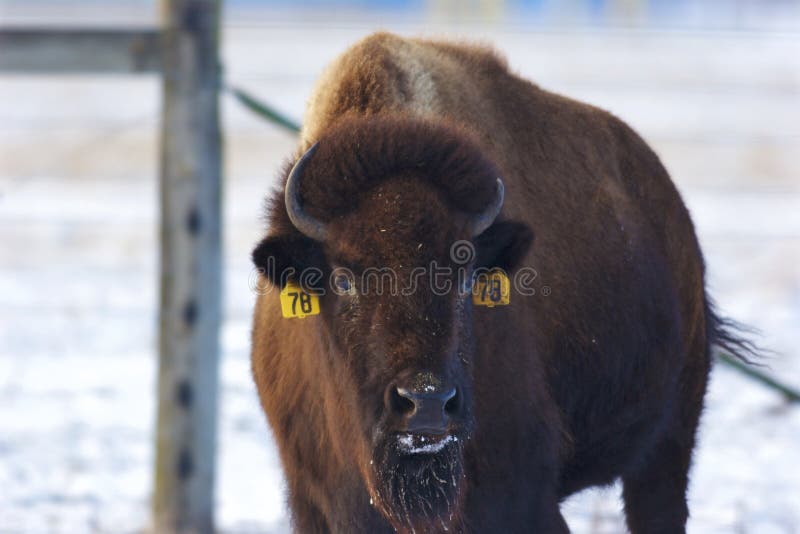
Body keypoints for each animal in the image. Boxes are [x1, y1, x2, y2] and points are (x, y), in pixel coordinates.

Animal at [251, 32, 752, 533]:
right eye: (343, 275)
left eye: (465, 272)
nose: (427, 403)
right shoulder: (318, 503)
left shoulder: (521, 498)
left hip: (669, 442)